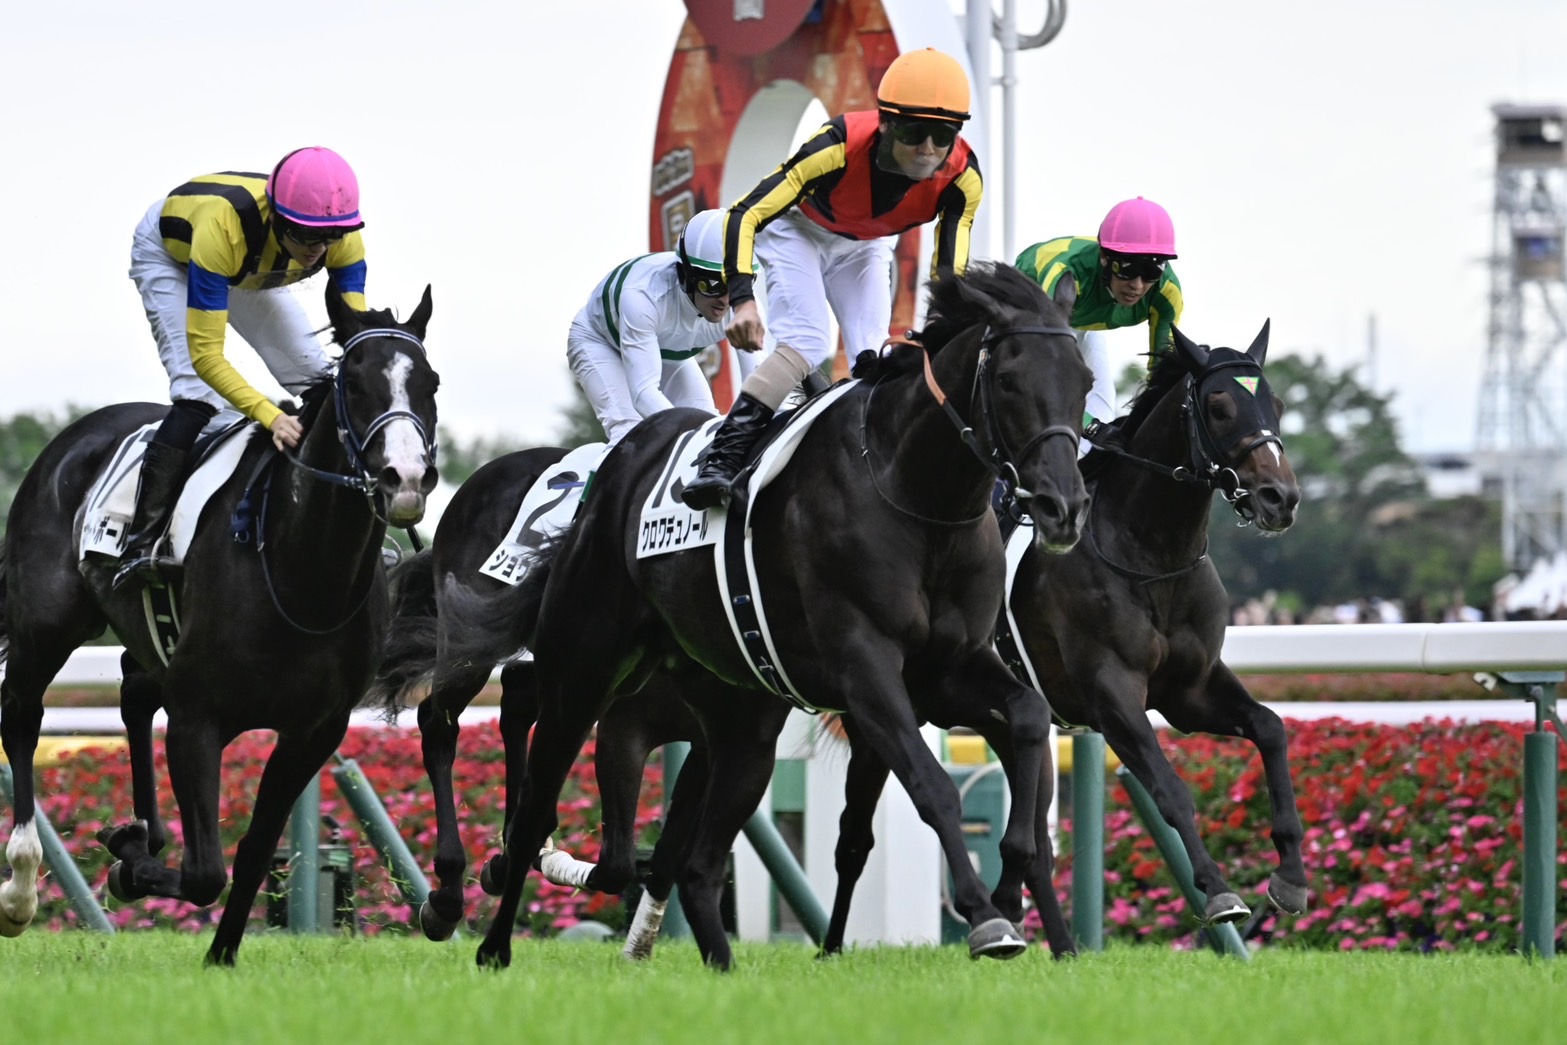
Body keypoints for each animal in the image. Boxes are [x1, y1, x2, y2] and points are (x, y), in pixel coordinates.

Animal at [0, 287, 441, 965]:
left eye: (431, 383)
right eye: (355, 384)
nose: (407, 480)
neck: (302, 575)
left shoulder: (313, 731)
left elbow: (256, 849)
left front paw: (220, 952)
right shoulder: (197, 716)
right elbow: (206, 870)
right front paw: (129, 863)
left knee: (133, 694)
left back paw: (143, 832)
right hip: (44, 623)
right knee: (22, 713)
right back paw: (21, 887)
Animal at [404, 262, 1092, 970]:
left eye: (1085, 381)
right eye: (1008, 379)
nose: (1063, 507)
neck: (913, 495)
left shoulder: (945, 670)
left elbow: (1028, 717)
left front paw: (1013, 880)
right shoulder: (866, 670)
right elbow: (932, 787)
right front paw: (986, 917)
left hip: (739, 719)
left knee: (696, 860)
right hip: (583, 667)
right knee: (514, 766)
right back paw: (486, 930)